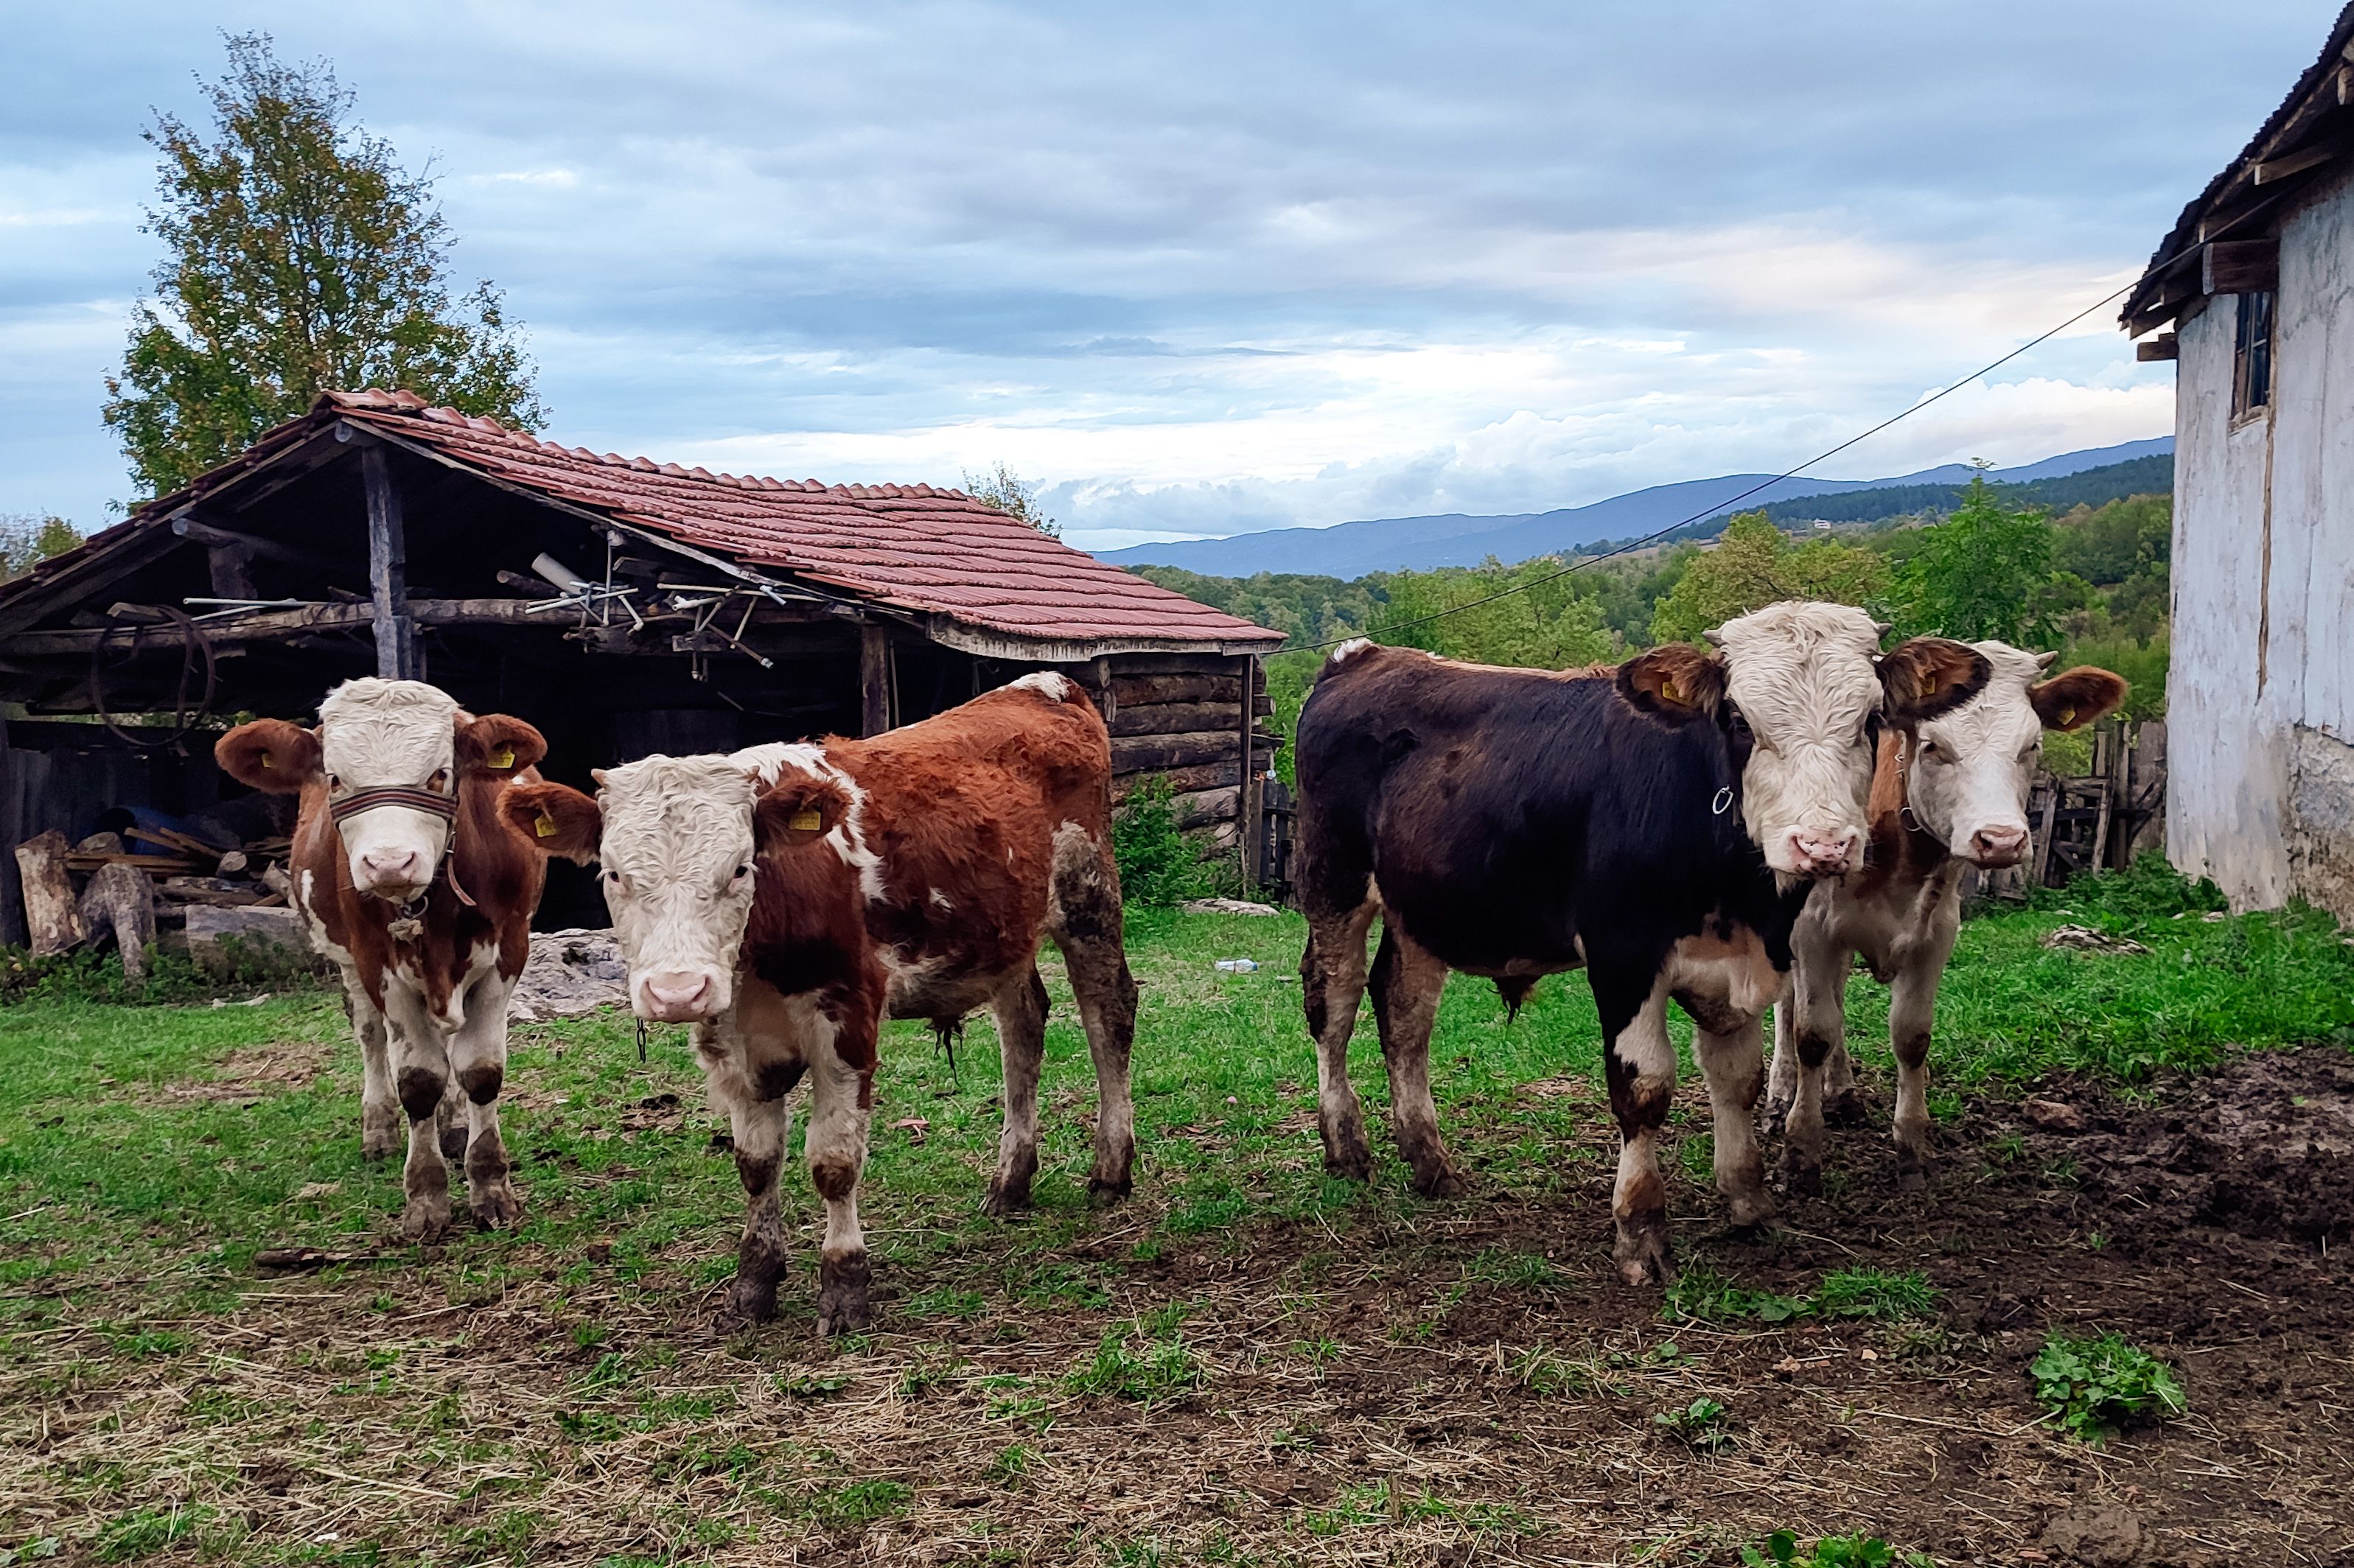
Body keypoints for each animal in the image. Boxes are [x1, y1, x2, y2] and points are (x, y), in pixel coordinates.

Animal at [215, 679, 550, 1239]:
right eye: (335, 779)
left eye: (439, 774)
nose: (390, 863)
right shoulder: (378, 964)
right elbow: (418, 1078)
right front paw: (426, 1198)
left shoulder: (509, 953)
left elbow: (480, 1070)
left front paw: (490, 1187)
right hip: (350, 966)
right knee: (372, 1036)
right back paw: (380, 1128)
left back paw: (453, 1123)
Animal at [498, 672, 1138, 1334]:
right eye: (614, 874)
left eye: (740, 868)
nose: (678, 990)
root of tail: (1043, 684)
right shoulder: (733, 1040)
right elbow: (756, 1163)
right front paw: (754, 1282)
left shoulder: (847, 1019)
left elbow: (834, 1161)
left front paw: (845, 1284)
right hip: (1004, 934)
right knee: (1023, 1030)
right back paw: (1011, 1182)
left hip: (1089, 898)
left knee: (1108, 1018)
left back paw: (1110, 1170)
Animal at [1292, 601, 1993, 1283]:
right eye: (1737, 718)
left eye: (1872, 718)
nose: (1822, 844)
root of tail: (1367, 656)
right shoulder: (1623, 955)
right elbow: (1644, 1089)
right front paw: (1641, 1228)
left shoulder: (1746, 962)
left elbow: (1735, 1080)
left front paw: (1749, 1200)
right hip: (1334, 883)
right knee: (1334, 1004)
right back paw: (1346, 1147)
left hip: (1422, 908)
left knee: (1404, 1015)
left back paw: (1430, 1161)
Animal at [1768, 646, 2128, 1191]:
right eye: (1934, 745)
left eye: (2032, 744)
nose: (2001, 839)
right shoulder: (1811, 928)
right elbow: (1811, 1033)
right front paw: (1801, 1150)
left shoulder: (1937, 934)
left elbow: (1912, 1036)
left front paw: (1912, 1147)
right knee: (1789, 1007)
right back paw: (1780, 1091)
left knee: (1838, 999)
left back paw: (1844, 1090)